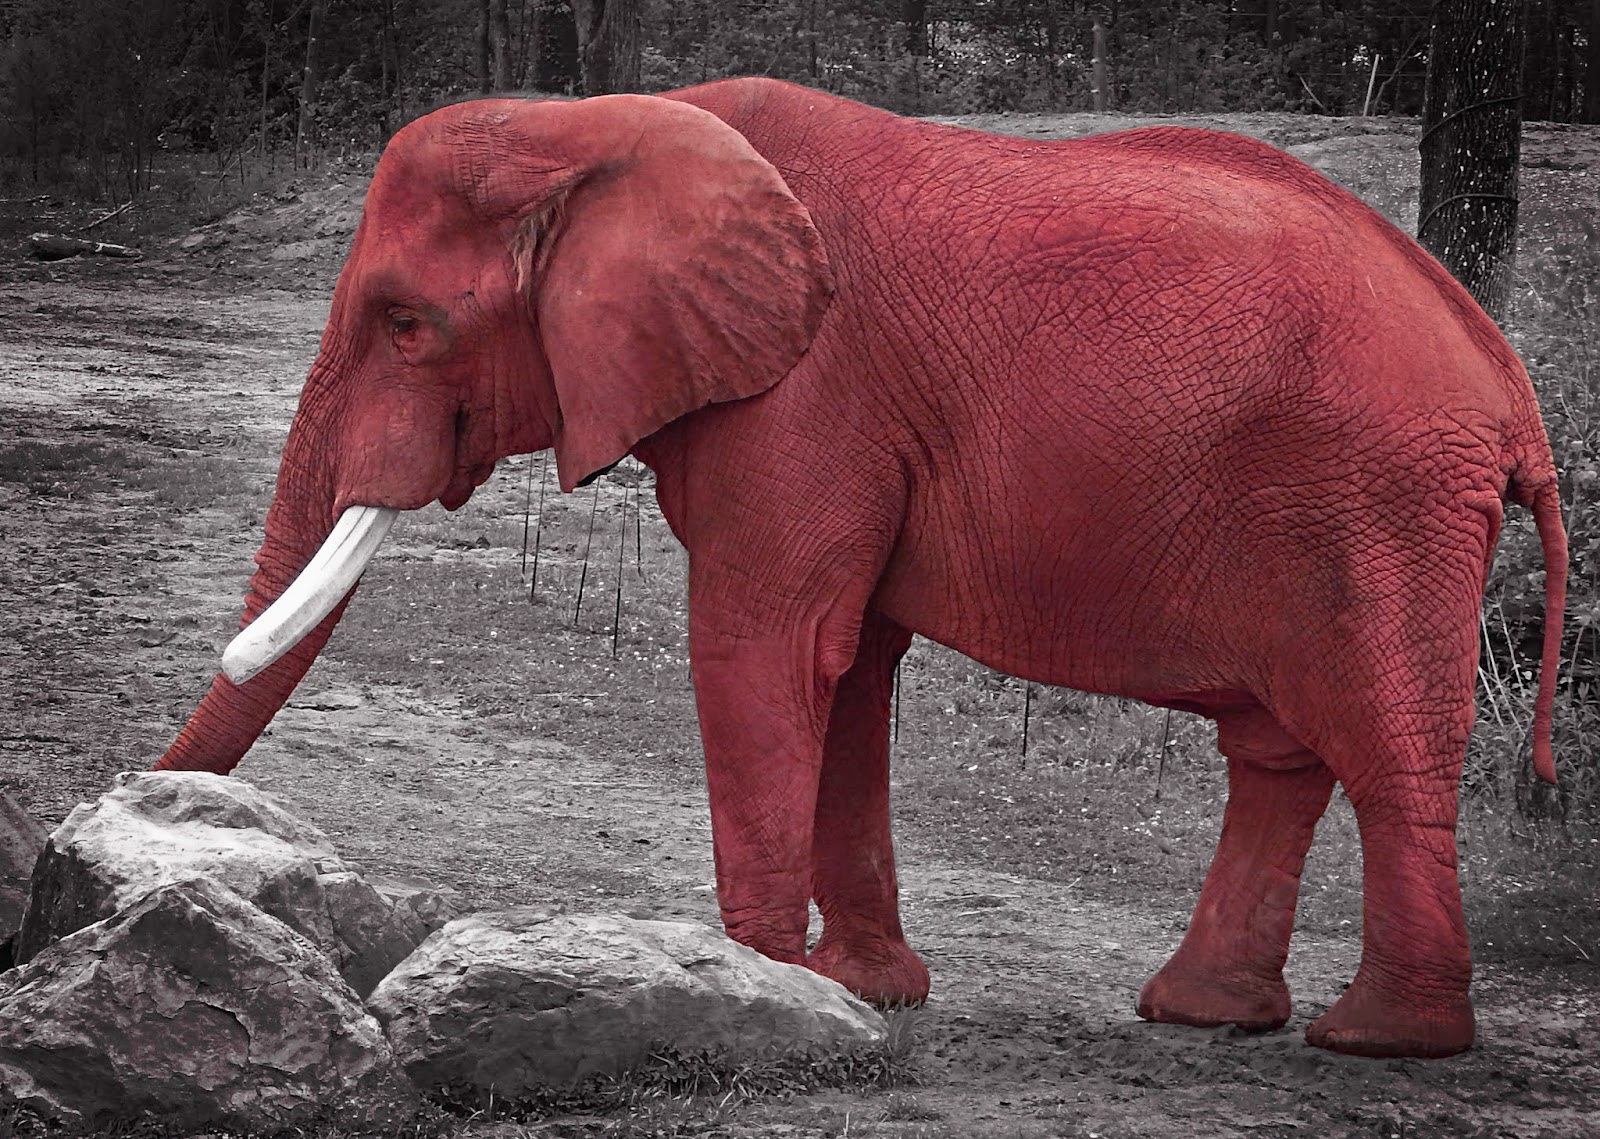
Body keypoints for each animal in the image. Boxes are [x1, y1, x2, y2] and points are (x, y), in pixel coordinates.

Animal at [154, 77, 1567, 1060]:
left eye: (405, 322)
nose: (138, 803)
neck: (596, 125)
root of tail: (1508, 385)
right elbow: (852, 666)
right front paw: (860, 991)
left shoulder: (804, 393)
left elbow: (766, 644)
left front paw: (757, 983)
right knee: (1277, 750)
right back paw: (1206, 1015)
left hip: (1383, 504)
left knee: (1380, 745)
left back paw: (1380, 1040)